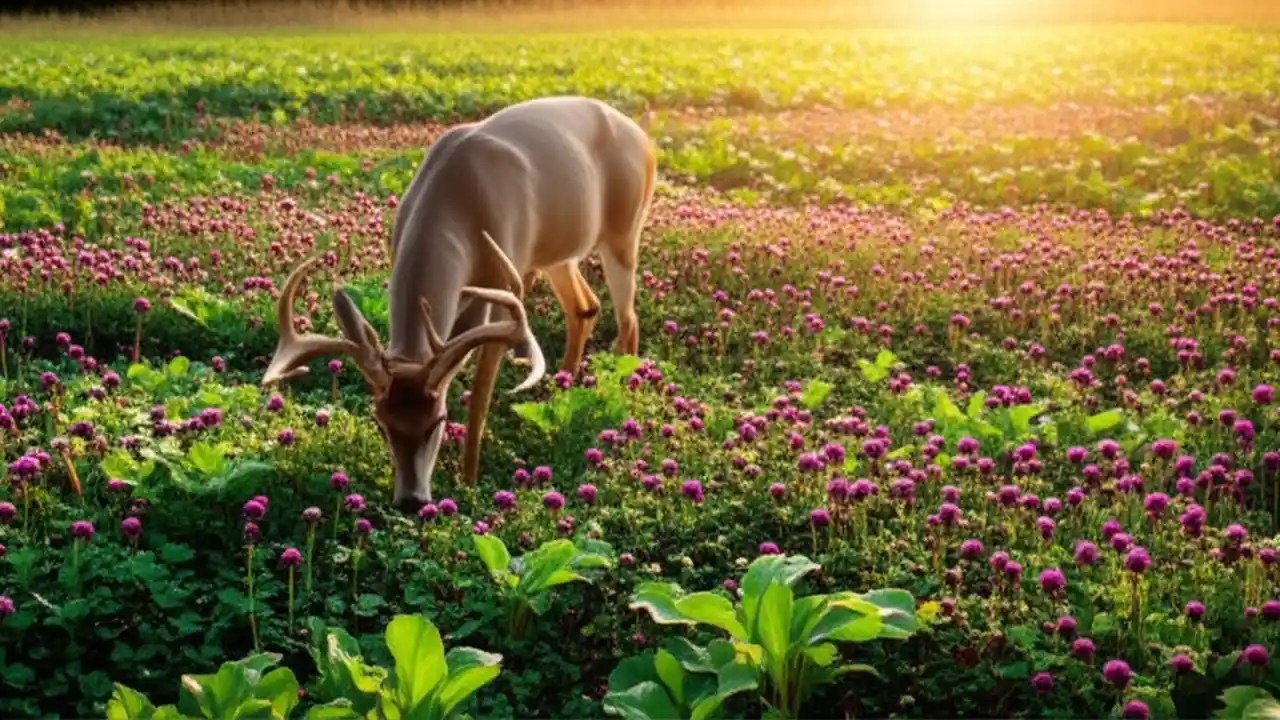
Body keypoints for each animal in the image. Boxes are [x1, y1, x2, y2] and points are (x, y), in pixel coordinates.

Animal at [259, 95, 659, 511]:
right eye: (381, 424)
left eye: (437, 421)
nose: (411, 500)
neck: (457, 200)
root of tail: (642, 135)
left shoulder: (507, 282)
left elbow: (479, 397)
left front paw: (468, 484)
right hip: (558, 254)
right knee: (584, 307)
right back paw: (561, 391)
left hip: (623, 232)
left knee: (628, 319)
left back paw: (625, 395)